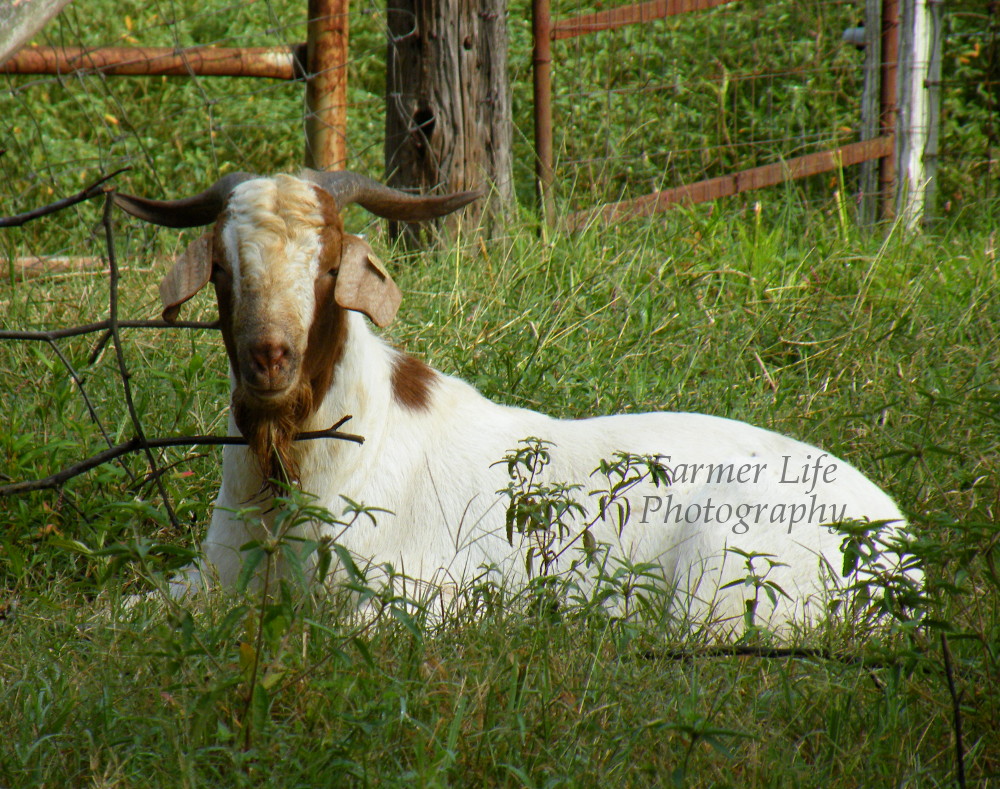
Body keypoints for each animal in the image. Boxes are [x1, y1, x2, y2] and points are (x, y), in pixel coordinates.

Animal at [115, 171, 911, 629]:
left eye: (330, 265)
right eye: (222, 267)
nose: (269, 357)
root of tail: (899, 545)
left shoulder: (417, 598)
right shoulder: (207, 576)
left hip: (729, 591)